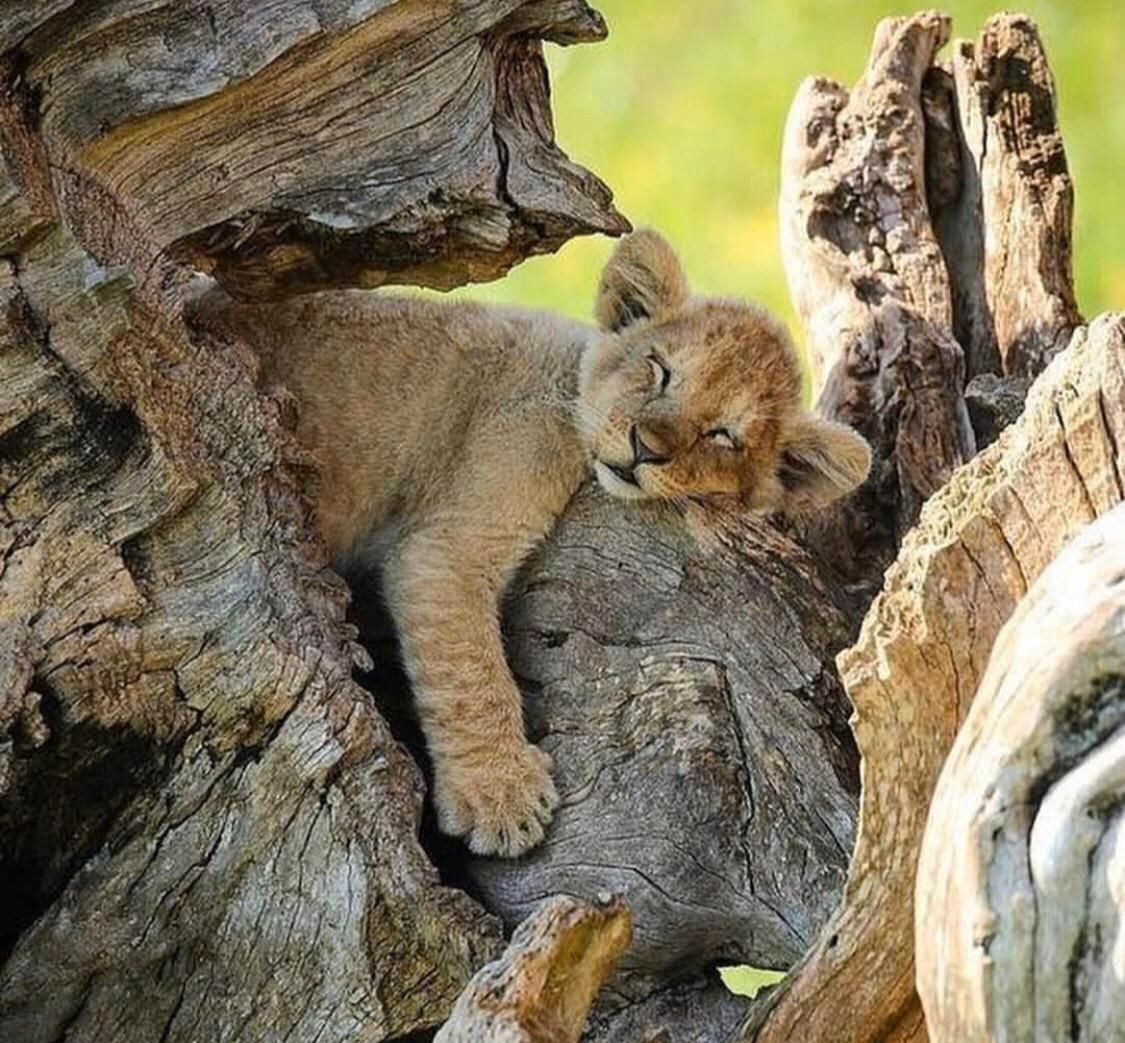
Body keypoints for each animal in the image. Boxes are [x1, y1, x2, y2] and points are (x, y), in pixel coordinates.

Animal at [199, 230, 871, 858]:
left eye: (723, 435)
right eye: (659, 369)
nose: (645, 447)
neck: (577, 379)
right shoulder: (452, 541)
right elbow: (472, 672)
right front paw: (499, 795)